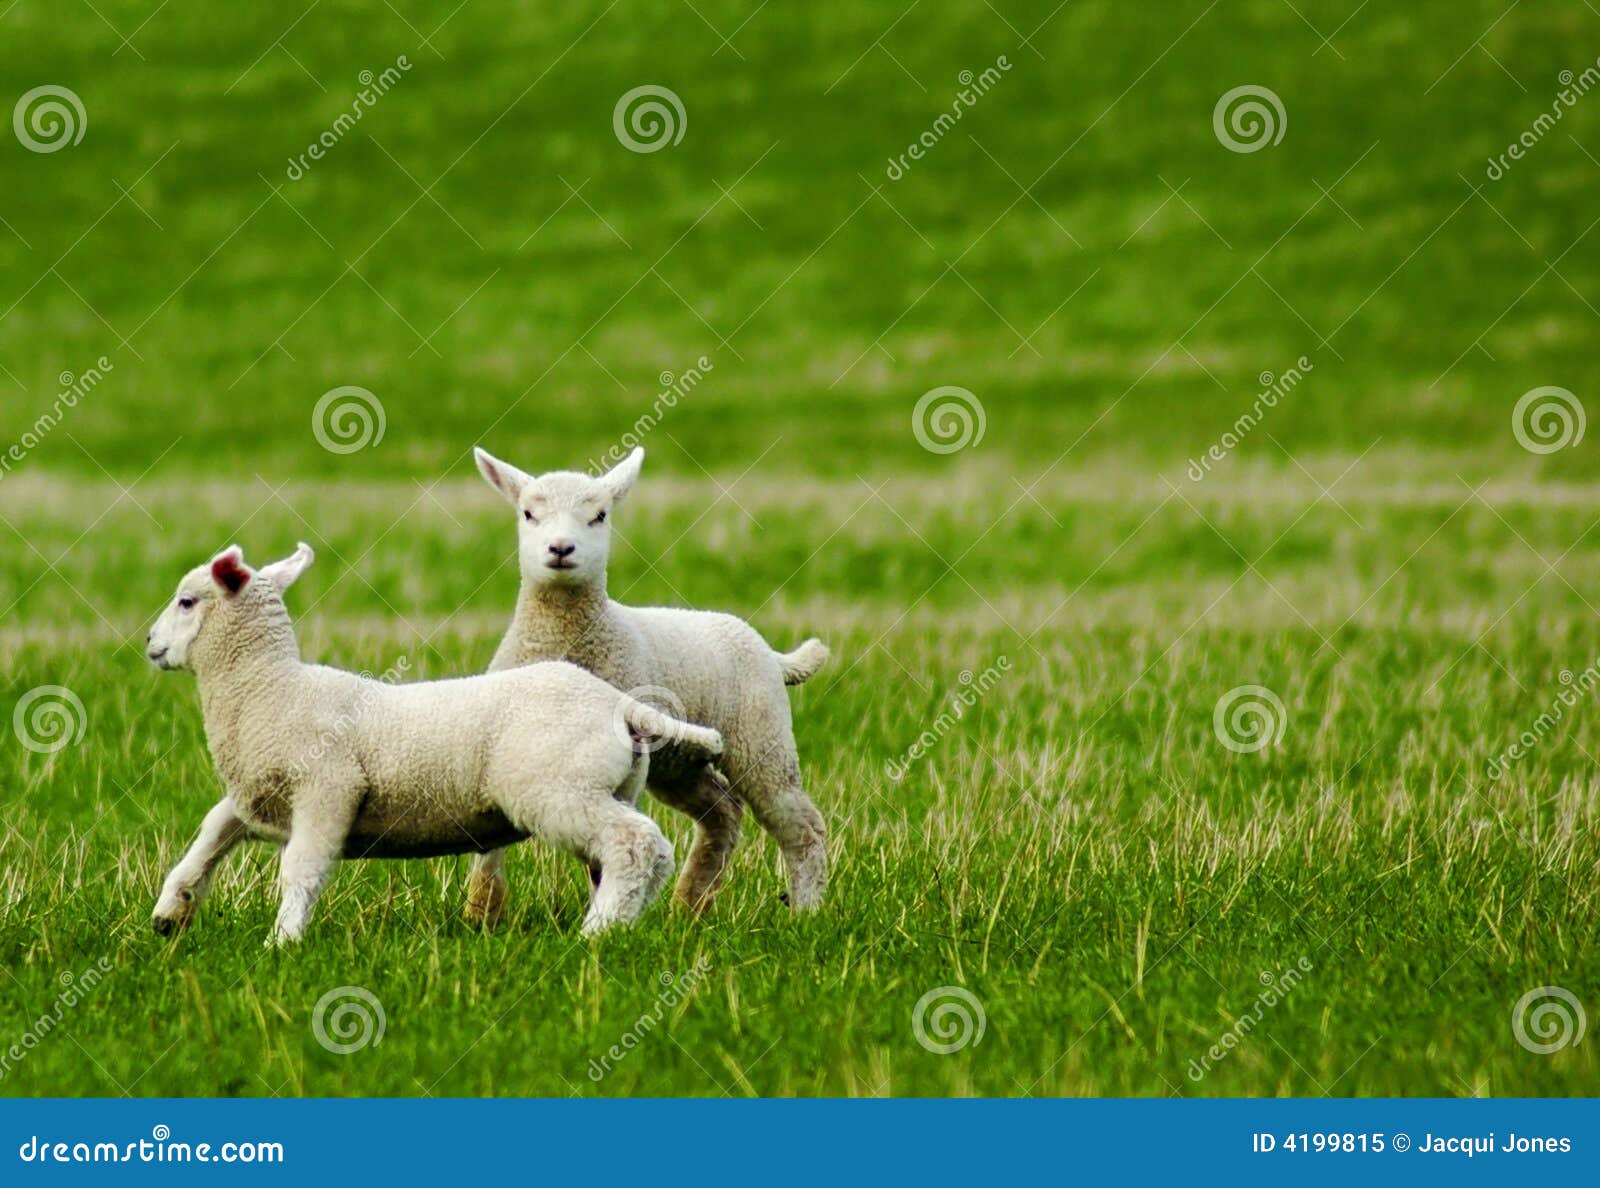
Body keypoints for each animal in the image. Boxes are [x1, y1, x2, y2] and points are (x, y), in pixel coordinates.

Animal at [146, 542, 725, 944]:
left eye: (186, 601)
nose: (149, 644)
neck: (267, 689)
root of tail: (622, 704)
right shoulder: (256, 797)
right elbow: (210, 835)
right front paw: (171, 911)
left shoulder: (328, 788)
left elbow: (302, 867)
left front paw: (282, 941)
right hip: (612, 786)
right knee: (640, 853)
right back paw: (624, 922)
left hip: (560, 788)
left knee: (635, 843)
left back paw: (597, 933)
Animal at [466, 445, 830, 923]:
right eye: (528, 513)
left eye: (599, 516)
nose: (561, 549)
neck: (566, 633)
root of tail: (771, 653)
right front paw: (481, 913)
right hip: (681, 761)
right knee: (723, 811)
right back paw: (690, 905)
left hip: (761, 738)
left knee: (800, 824)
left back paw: (806, 911)